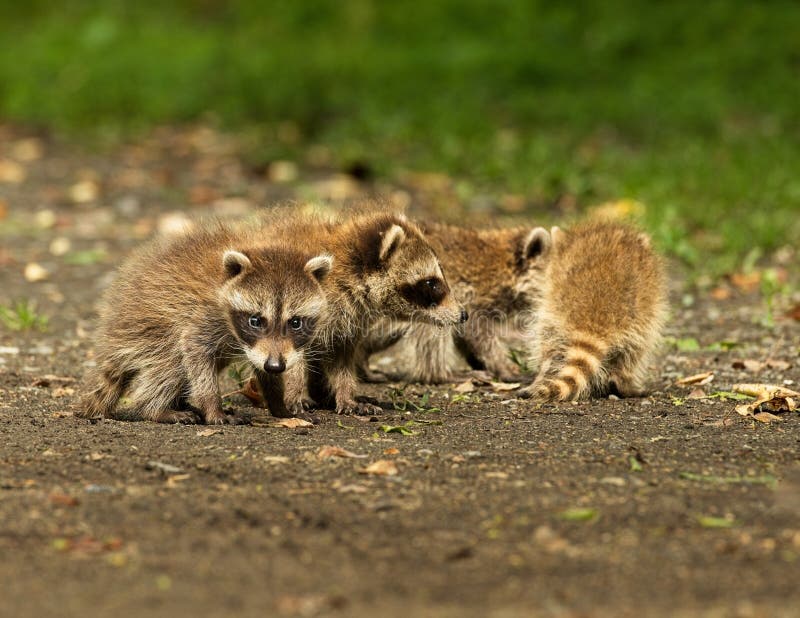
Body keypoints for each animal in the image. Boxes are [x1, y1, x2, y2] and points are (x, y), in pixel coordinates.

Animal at [78, 222, 332, 424]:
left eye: (295, 322)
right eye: (255, 320)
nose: (275, 366)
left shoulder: (268, 349)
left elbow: (263, 365)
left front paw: (279, 405)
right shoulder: (203, 314)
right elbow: (195, 351)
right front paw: (212, 407)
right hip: (149, 329)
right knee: (172, 363)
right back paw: (155, 408)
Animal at [260, 210, 466, 415]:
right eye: (431, 283)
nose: (464, 314)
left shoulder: (349, 319)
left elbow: (341, 357)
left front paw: (345, 395)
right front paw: (293, 393)